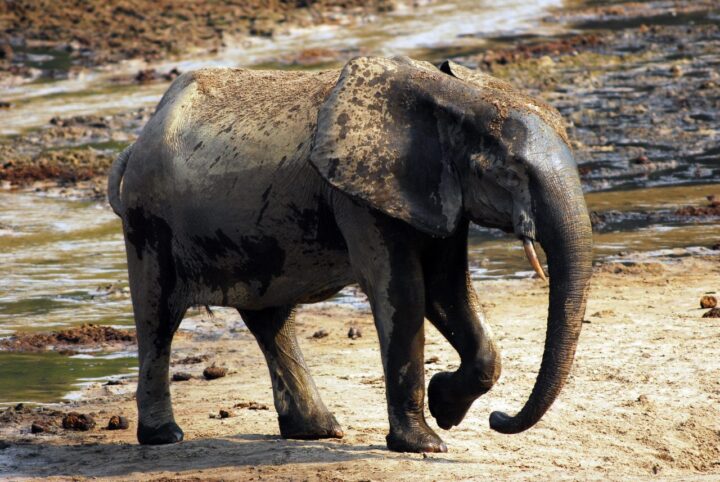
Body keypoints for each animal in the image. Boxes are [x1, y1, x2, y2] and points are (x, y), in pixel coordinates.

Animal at [107, 56, 592, 453]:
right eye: (509, 173)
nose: (497, 419)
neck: (456, 98)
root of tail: (134, 146)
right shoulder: (359, 194)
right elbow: (405, 293)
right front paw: (425, 444)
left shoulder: (436, 193)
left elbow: (446, 290)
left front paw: (445, 409)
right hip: (149, 224)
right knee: (157, 318)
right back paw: (163, 436)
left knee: (270, 321)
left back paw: (317, 431)